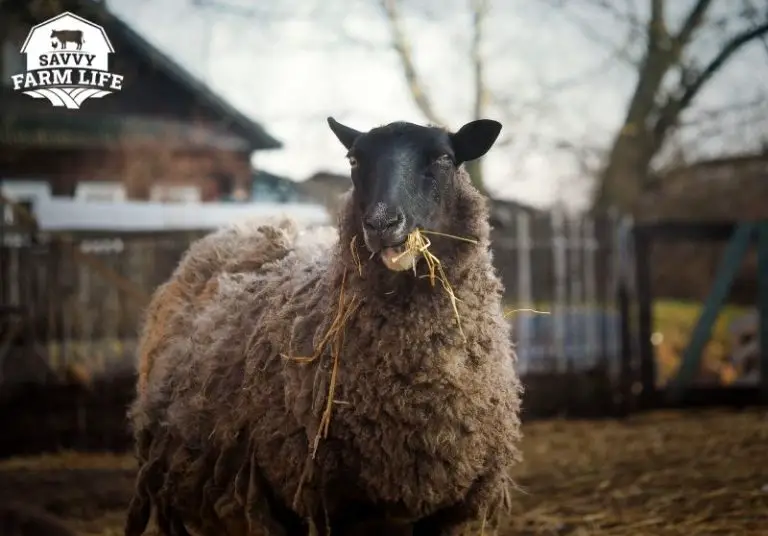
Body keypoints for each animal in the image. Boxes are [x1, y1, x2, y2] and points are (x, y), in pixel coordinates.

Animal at [125, 116, 523, 536]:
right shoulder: (317, 498)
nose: (382, 223)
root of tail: (241, 226)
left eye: (444, 158)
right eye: (354, 159)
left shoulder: (455, 508)